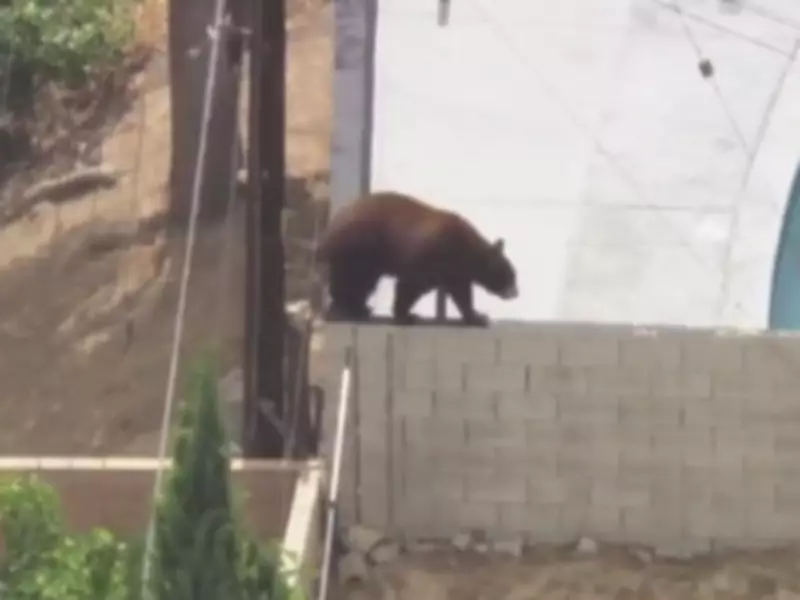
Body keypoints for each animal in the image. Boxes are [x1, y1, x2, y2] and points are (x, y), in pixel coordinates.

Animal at [317, 190, 519, 326]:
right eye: (510, 275)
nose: (516, 293)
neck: (467, 250)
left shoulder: (456, 270)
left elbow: (462, 293)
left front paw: (477, 317)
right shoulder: (434, 251)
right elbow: (412, 283)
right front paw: (405, 315)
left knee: (363, 282)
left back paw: (359, 309)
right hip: (358, 247)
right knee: (352, 278)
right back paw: (345, 311)